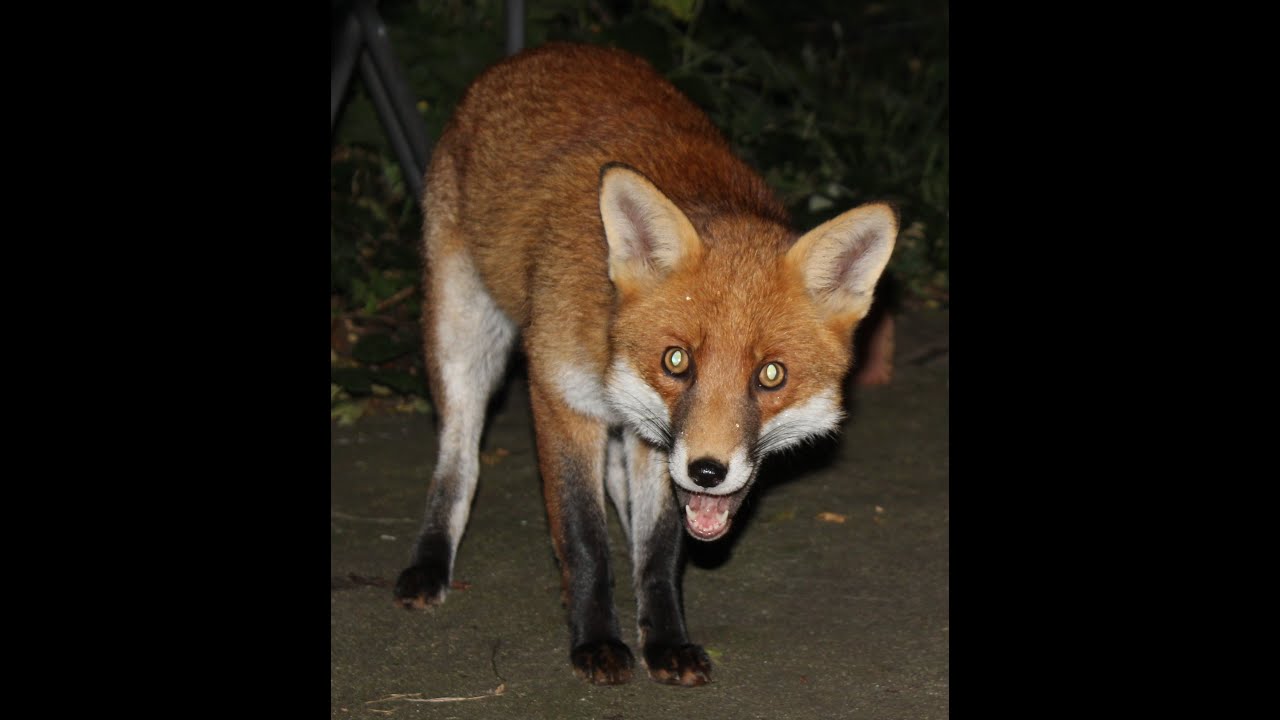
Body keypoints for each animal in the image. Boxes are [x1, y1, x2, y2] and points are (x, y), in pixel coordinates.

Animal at [393, 42, 897, 686]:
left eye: (771, 375)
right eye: (676, 360)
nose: (707, 471)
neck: (609, 347)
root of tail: (544, 51)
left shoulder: (657, 439)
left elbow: (659, 548)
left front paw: (664, 638)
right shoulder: (560, 399)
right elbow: (583, 539)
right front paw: (596, 642)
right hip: (462, 335)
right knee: (458, 463)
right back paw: (430, 563)